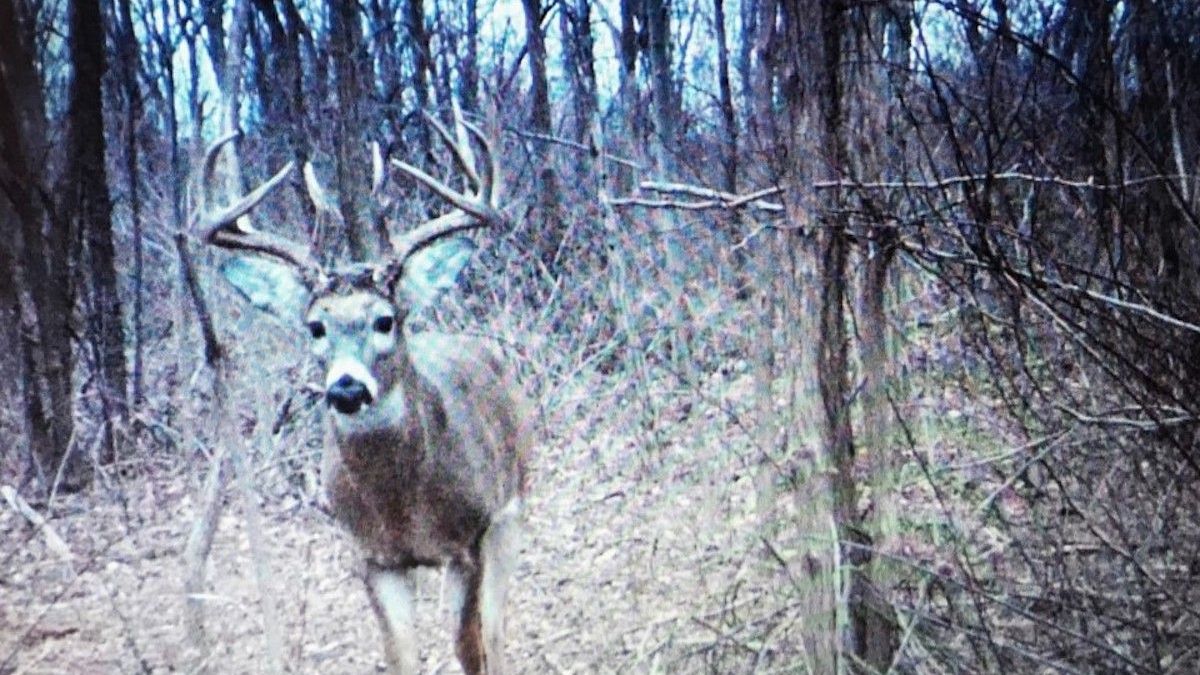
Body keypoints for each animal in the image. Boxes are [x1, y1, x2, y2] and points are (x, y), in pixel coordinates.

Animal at [191, 109, 530, 675]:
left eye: (384, 320)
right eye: (315, 326)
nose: (347, 388)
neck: (403, 506)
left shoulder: (470, 538)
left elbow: (471, 647)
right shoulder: (373, 557)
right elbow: (401, 657)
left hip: (512, 508)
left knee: (496, 633)